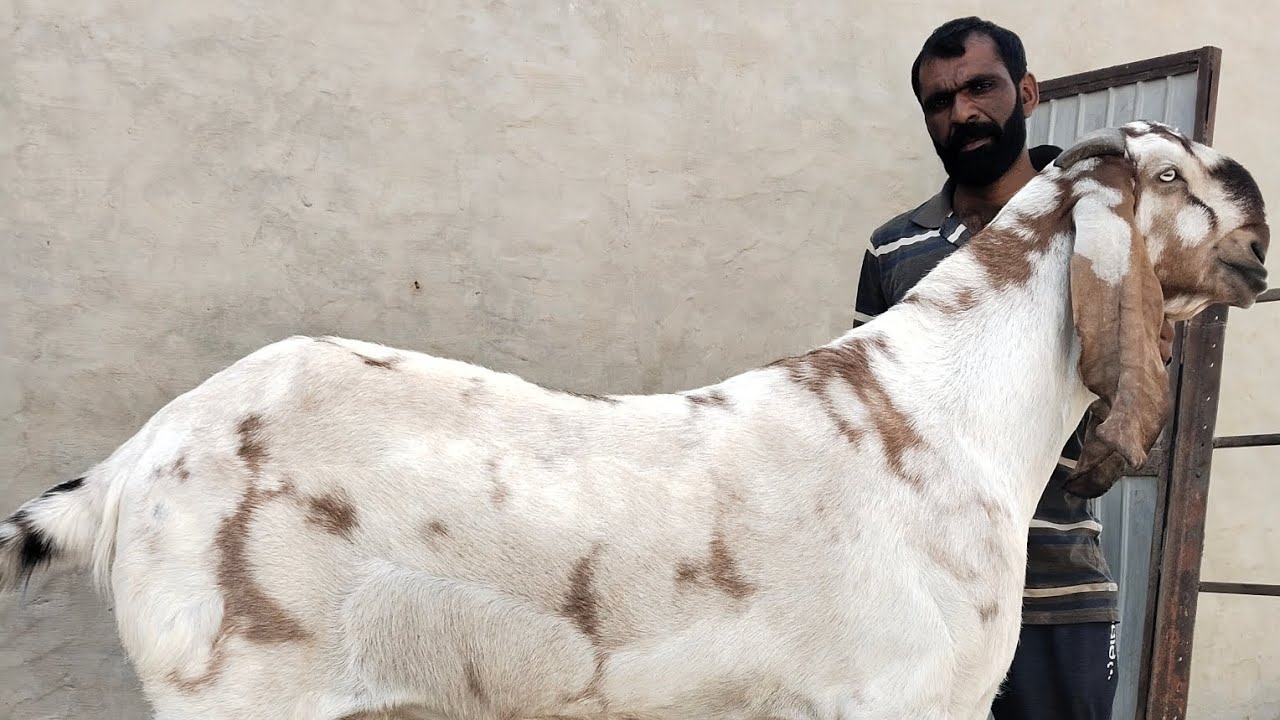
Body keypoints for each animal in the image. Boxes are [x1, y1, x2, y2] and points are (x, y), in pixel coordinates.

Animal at [0, 121, 1270, 720]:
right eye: (1173, 175)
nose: (1259, 225)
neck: (943, 412)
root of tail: (134, 465)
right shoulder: (898, 696)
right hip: (237, 687)